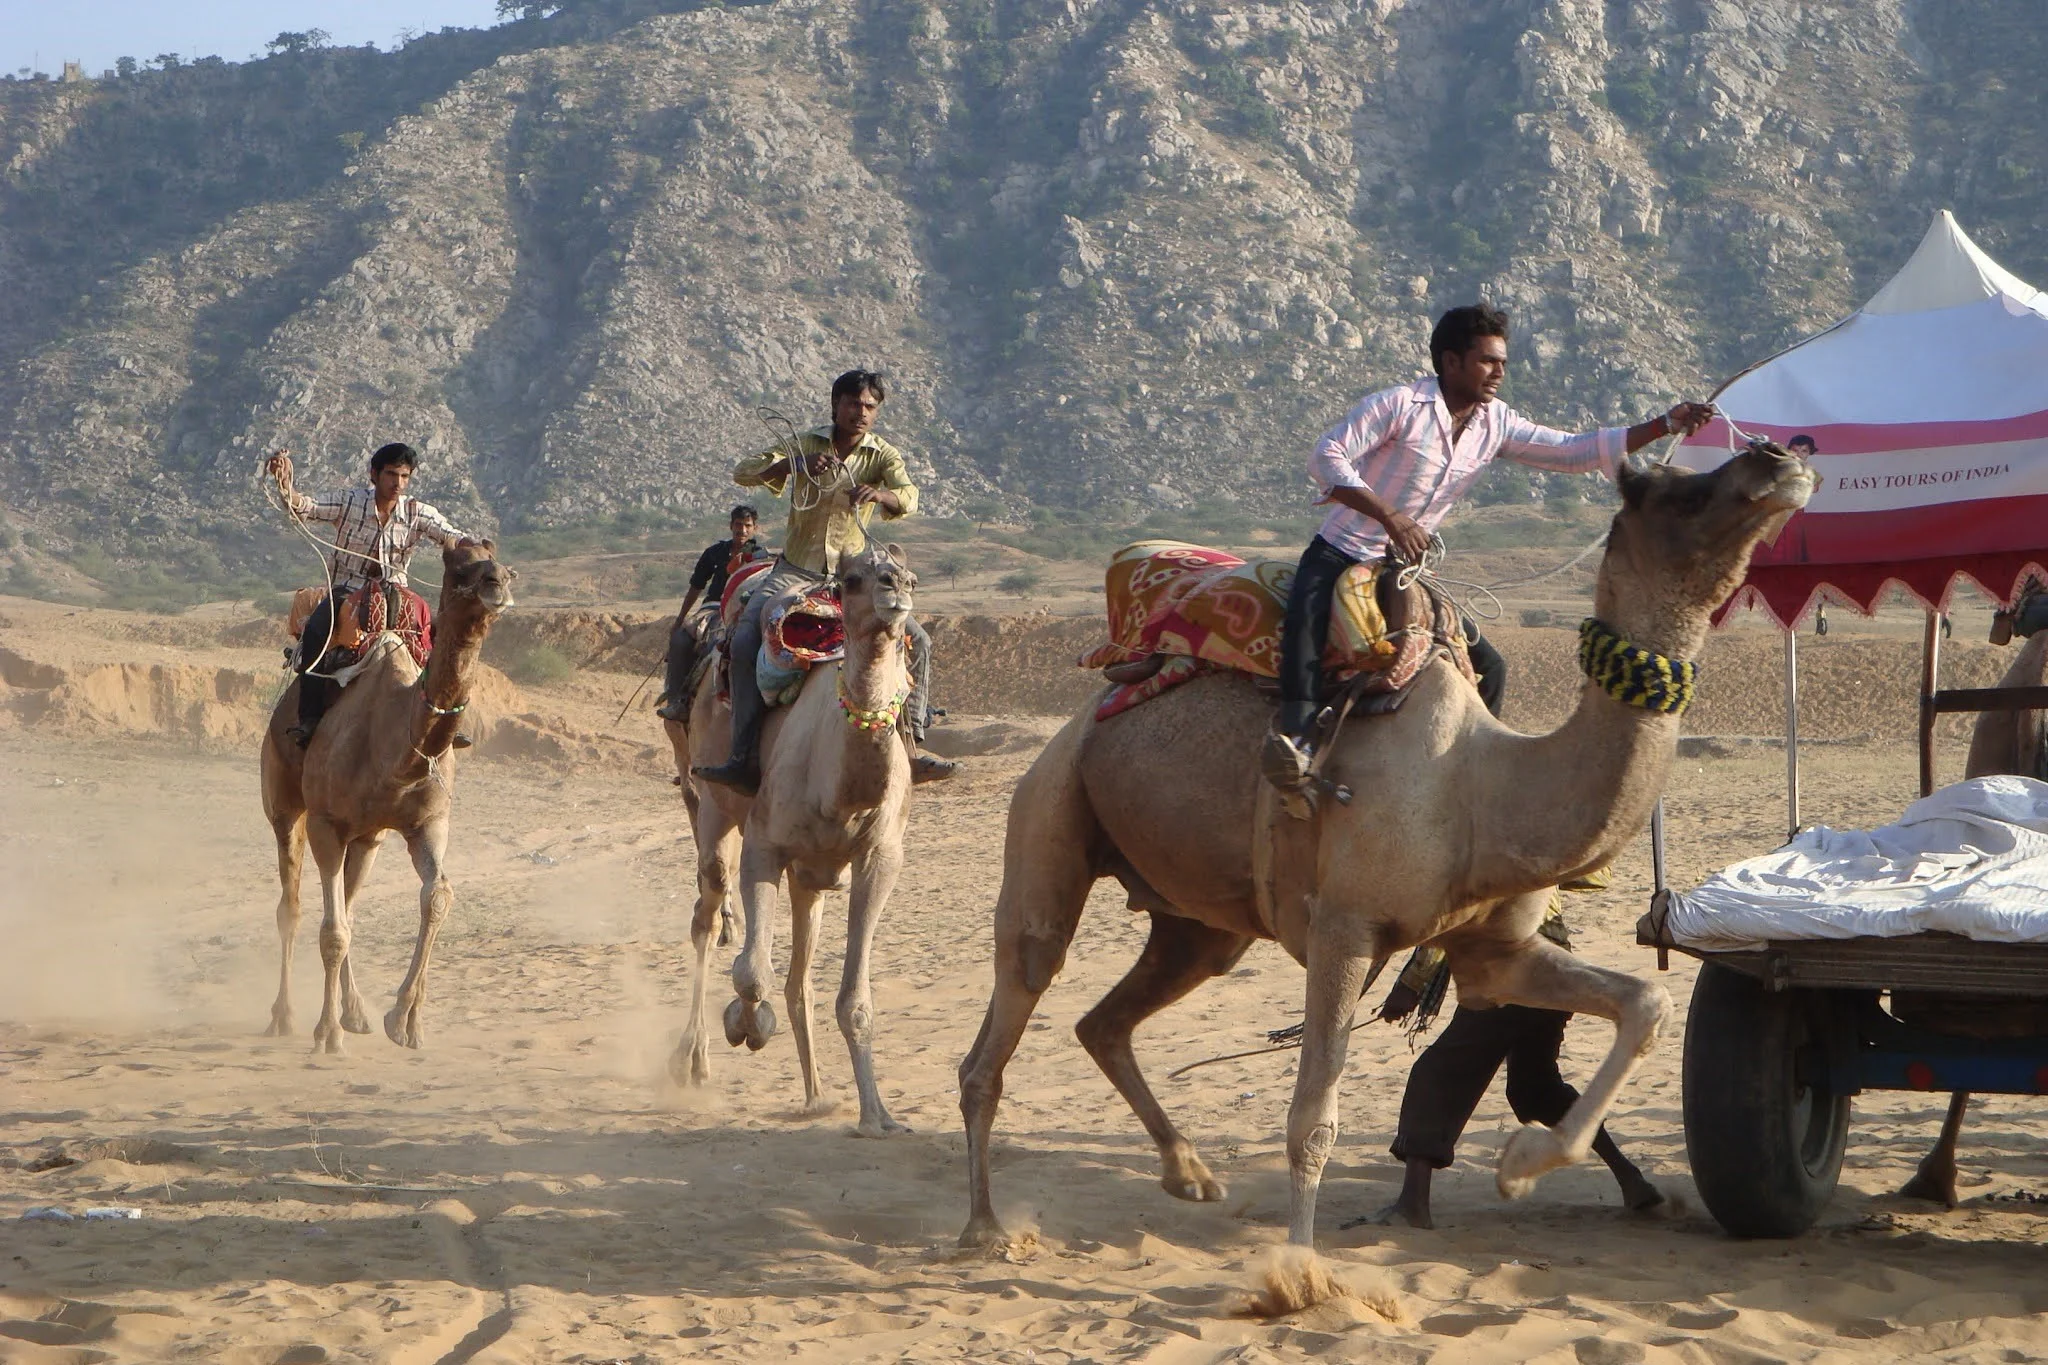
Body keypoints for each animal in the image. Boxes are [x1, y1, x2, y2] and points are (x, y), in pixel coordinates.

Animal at [259, 542, 515, 1053]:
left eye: (499, 563)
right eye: (458, 568)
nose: (497, 583)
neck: (395, 753)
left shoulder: (427, 823)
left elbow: (437, 896)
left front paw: (405, 1021)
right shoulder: (326, 823)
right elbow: (331, 932)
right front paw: (327, 1034)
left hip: (368, 838)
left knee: (350, 907)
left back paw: (356, 1011)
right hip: (284, 804)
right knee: (291, 907)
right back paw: (284, 1016)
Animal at [712, 544, 918, 1134]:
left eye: (913, 578)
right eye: (850, 581)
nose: (894, 588)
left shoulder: (879, 857)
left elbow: (854, 1000)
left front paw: (877, 1116)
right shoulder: (764, 844)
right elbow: (751, 972)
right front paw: (746, 1026)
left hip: (812, 878)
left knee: (799, 981)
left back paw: (817, 1095)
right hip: (710, 804)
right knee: (707, 913)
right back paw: (694, 1065)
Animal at [957, 441, 1816, 1252]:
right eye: (1681, 492)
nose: (1780, 456)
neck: (1487, 786)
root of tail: (1089, 708)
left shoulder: (1494, 950)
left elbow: (1647, 1000)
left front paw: (1520, 1164)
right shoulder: (1345, 928)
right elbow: (1312, 1117)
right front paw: (1296, 1273)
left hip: (1199, 925)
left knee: (1106, 1019)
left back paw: (1188, 1172)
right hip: (1051, 803)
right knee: (1009, 1005)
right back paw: (987, 1227)